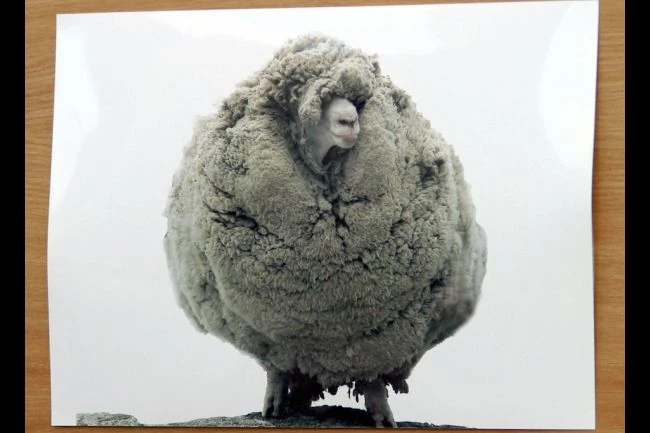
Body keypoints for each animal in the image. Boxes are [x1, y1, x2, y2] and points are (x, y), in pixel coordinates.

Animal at [163, 33, 487, 427]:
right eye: (300, 100)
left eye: (359, 101)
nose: (349, 120)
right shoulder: (273, 331)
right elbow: (277, 366)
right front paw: (272, 403)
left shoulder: (377, 337)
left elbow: (373, 378)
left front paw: (382, 415)